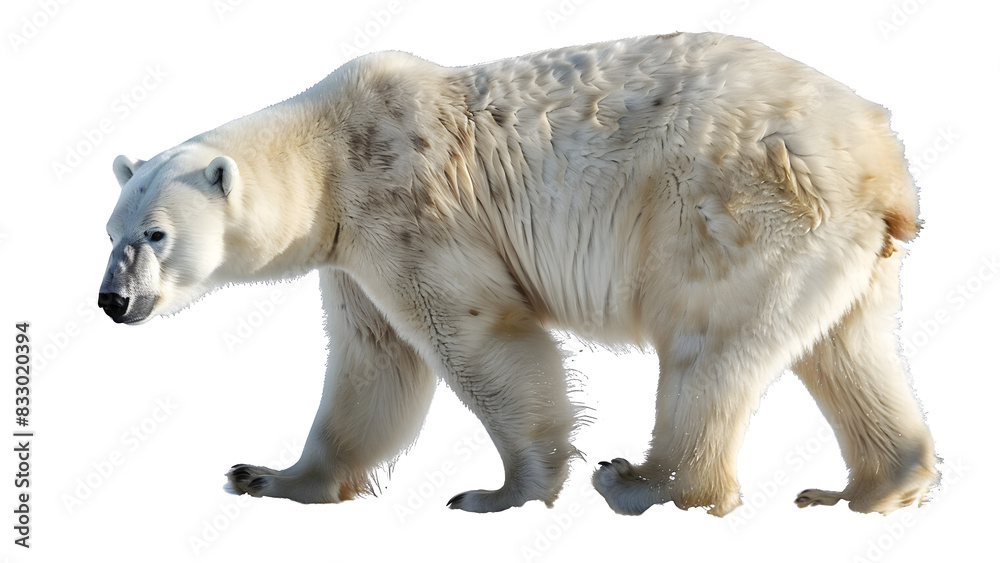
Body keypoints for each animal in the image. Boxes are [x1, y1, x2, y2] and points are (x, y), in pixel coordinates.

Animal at [99, 32, 938, 516]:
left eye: (156, 234)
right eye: (108, 231)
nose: (112, 299)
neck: (331, 149)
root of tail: (881, 157)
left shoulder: (406, 204)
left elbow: (475, 334)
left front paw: (499, 491)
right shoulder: (350, 251)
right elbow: (373, 364)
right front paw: (267, 475)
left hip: (732, 206)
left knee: (707, 345)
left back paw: (642, 482)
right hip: (845, 247)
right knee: (848, 347)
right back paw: (865, 486)